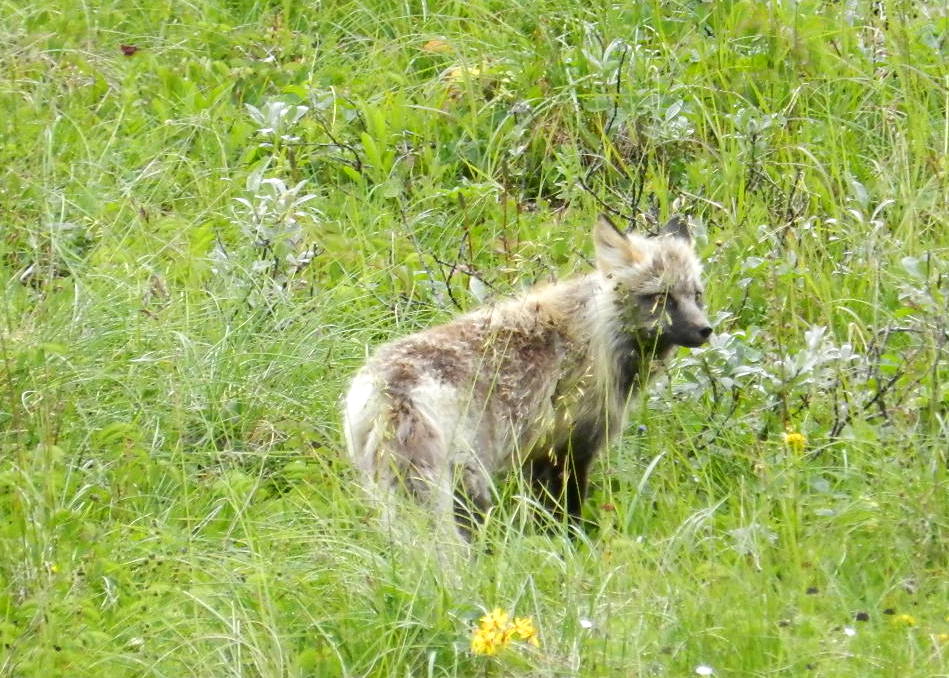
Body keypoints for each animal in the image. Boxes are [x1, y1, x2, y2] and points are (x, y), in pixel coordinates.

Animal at [343, 214, 712, 538]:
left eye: (696, 295)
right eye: (661, 298)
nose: (706, 330)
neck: (600, 333)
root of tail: (392, 387)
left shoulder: (538, 454)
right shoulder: (571, 447)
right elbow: (567, 516)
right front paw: (573, 548)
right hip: (469, 482)